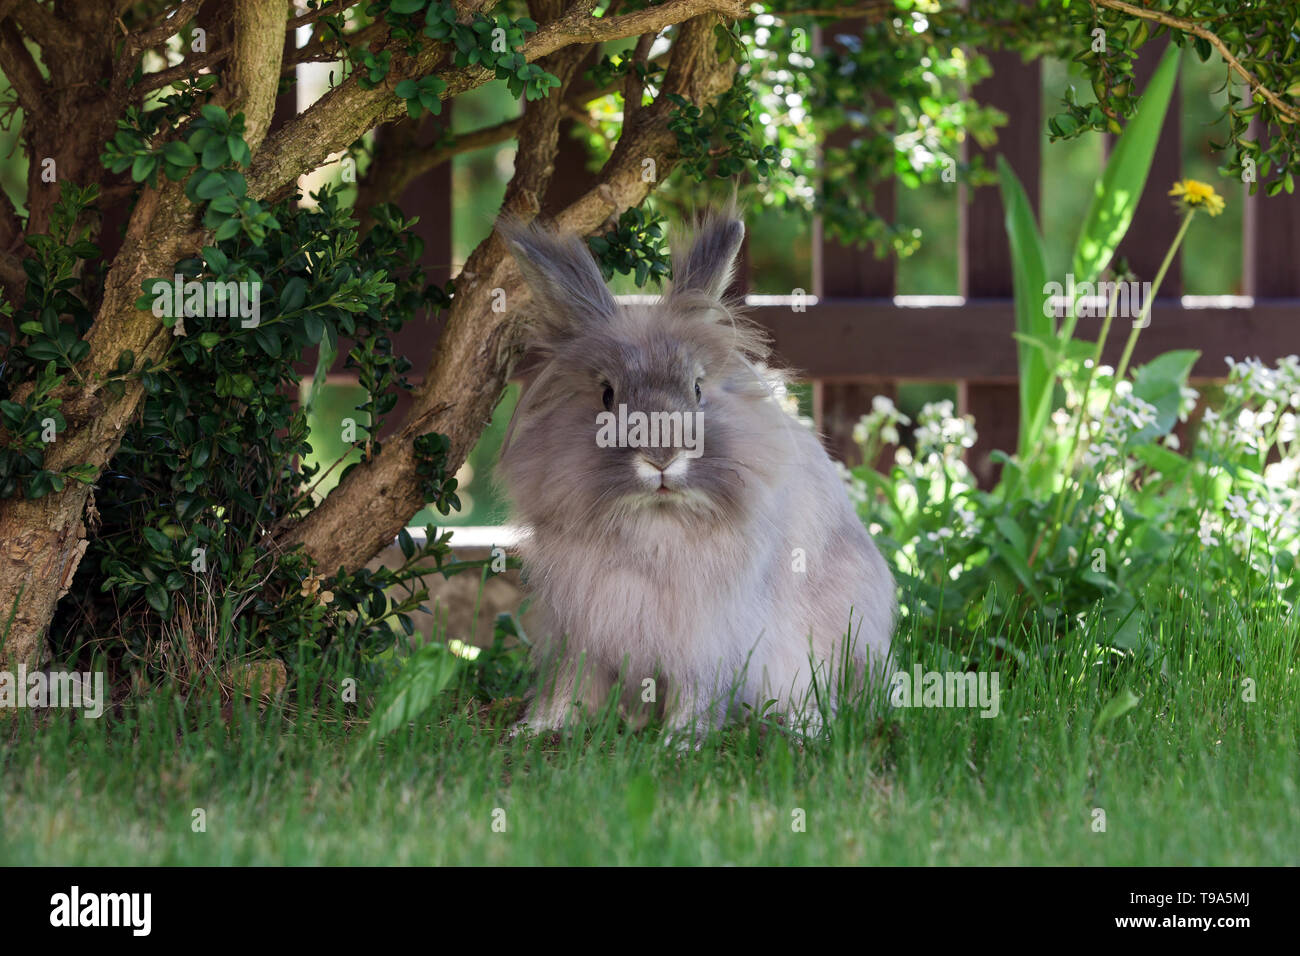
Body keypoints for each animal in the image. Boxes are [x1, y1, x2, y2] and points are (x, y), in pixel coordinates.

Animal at [497, 210, 895, 741]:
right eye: (606, 395)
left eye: (698, 388)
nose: (662, 456)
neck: (656, 524)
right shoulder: (580, 626)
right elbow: (570, 681)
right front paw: (538, 729)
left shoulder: (709, 637)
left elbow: (698, 689)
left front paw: (680, 741)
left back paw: (801, 728)